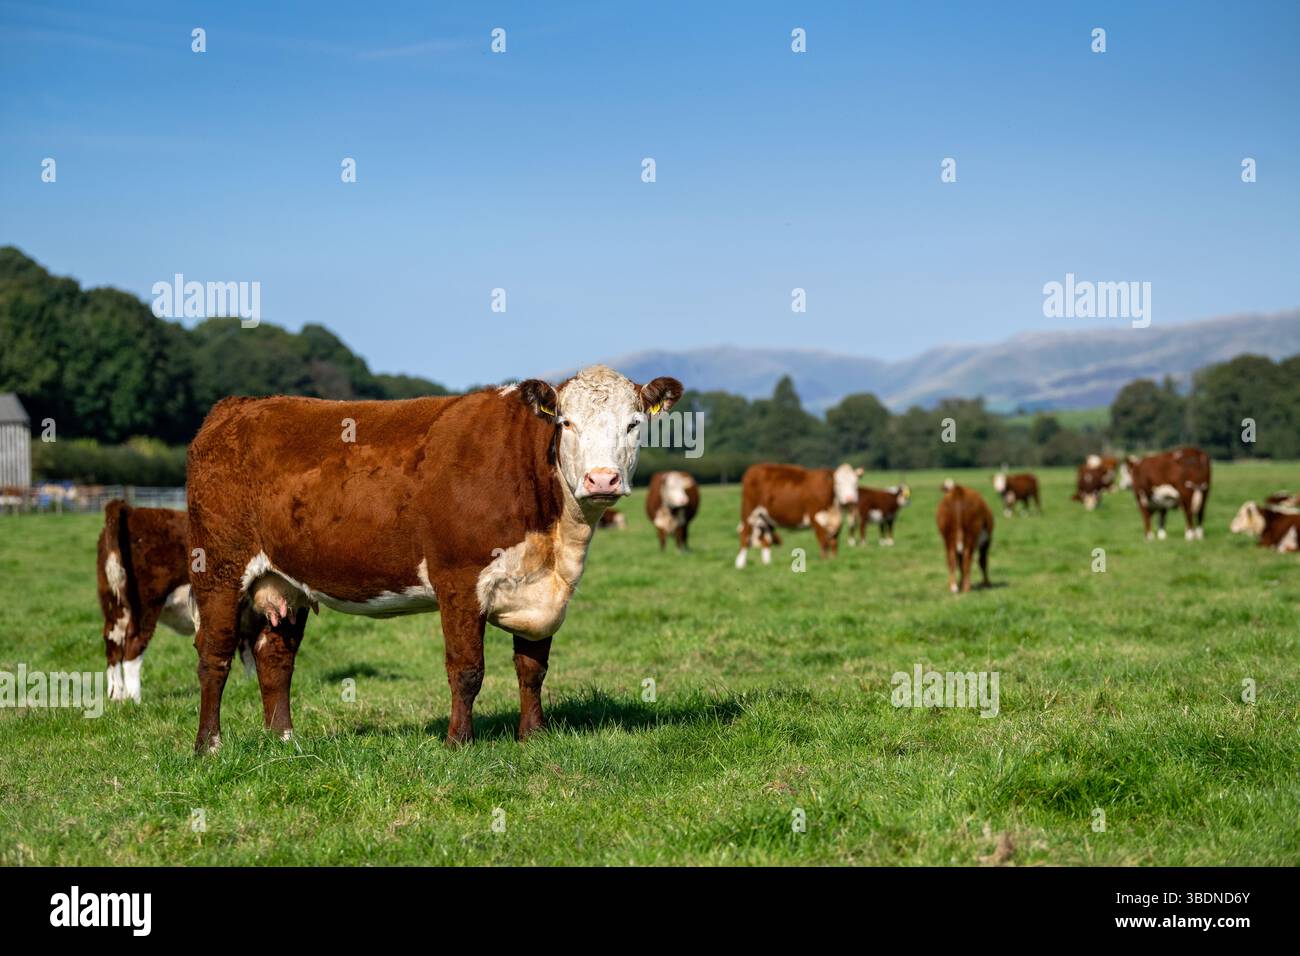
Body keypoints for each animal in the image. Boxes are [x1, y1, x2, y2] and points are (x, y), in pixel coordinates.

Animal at [97, 501, 197, 702]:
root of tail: (132, 511)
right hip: (145, 605)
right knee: (133, 645)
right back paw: (133, 699)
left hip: (115, 606)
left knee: (112, 644)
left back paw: (116, 696)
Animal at [184, 365, 682, 753]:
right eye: (566, 422)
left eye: (634, 423)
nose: (602, 479)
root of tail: (236, 407)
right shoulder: (459, 579)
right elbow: (466, 669)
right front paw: (458, 742)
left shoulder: (541, 593)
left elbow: (532, 669)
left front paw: (534, 736)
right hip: (218, 570)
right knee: (214, 655)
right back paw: (209, 745)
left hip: (284, 581)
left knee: (276, 657)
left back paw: (285, 740)